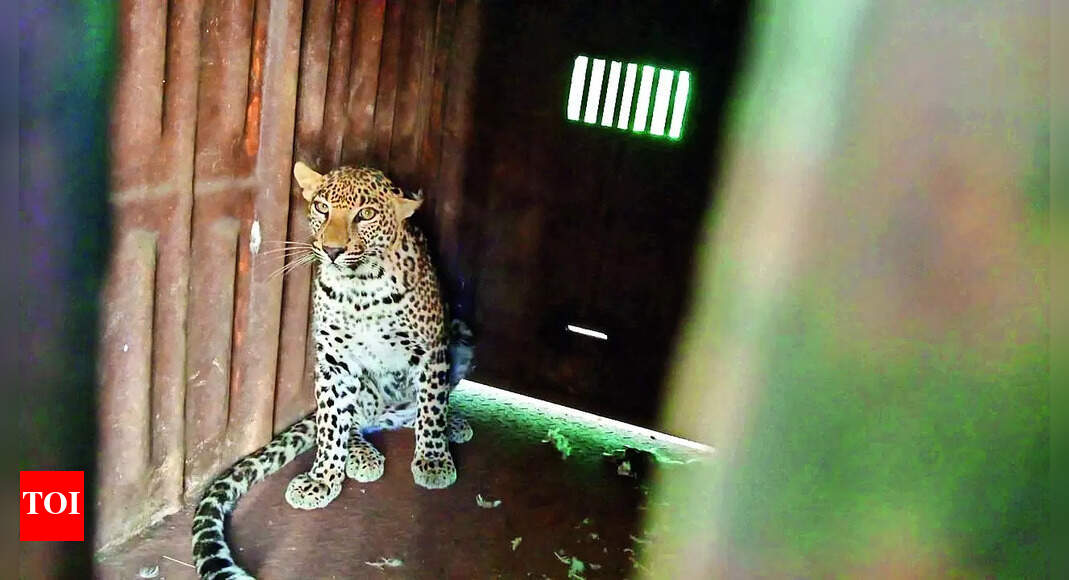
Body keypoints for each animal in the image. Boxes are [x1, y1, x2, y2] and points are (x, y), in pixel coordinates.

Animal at [191, 162, 475, 579]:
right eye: (322, 207)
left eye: (366, 214)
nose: (332, 250)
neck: (362, 291)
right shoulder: (334, 361)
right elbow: (330, 422)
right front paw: (323, 478)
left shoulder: (432, 350)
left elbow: (432, 408)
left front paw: (434, 459)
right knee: (358, 422)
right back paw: (360, 455)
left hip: (461, 336)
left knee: (417, 410)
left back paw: (451, 425)